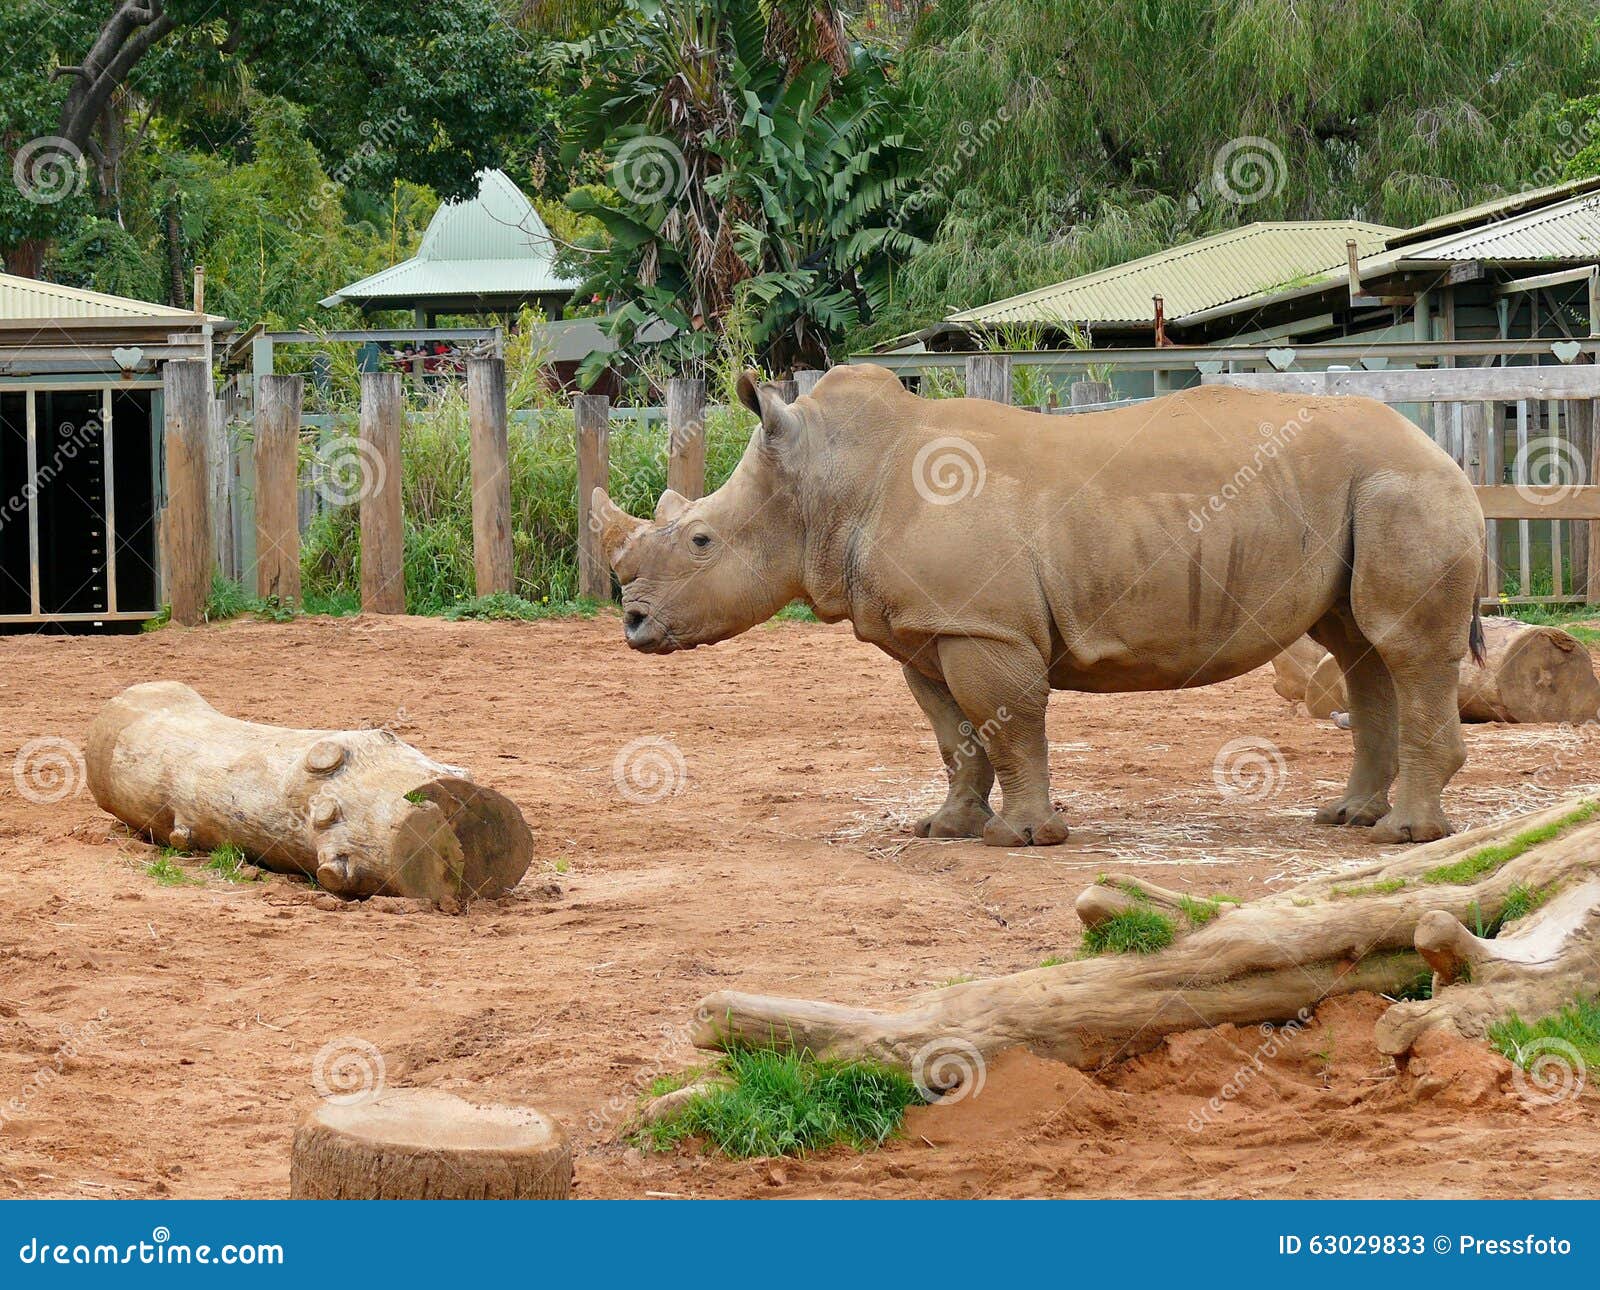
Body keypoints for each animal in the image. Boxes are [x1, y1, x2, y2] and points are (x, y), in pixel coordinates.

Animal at [593, 364, 1485, 846]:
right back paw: (1348, 817)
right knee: (1359, 648)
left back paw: (1404, 835)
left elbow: (1011, 723)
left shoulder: (984, 626)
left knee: (1405, 648)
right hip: (1365, 488)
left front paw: (1024, 838)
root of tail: (1445, 452)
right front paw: (945, 829)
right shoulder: (928, 630)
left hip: (1401, 486)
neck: (830, 481)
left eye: (700, 541)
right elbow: (954, 736)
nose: (632, 624)